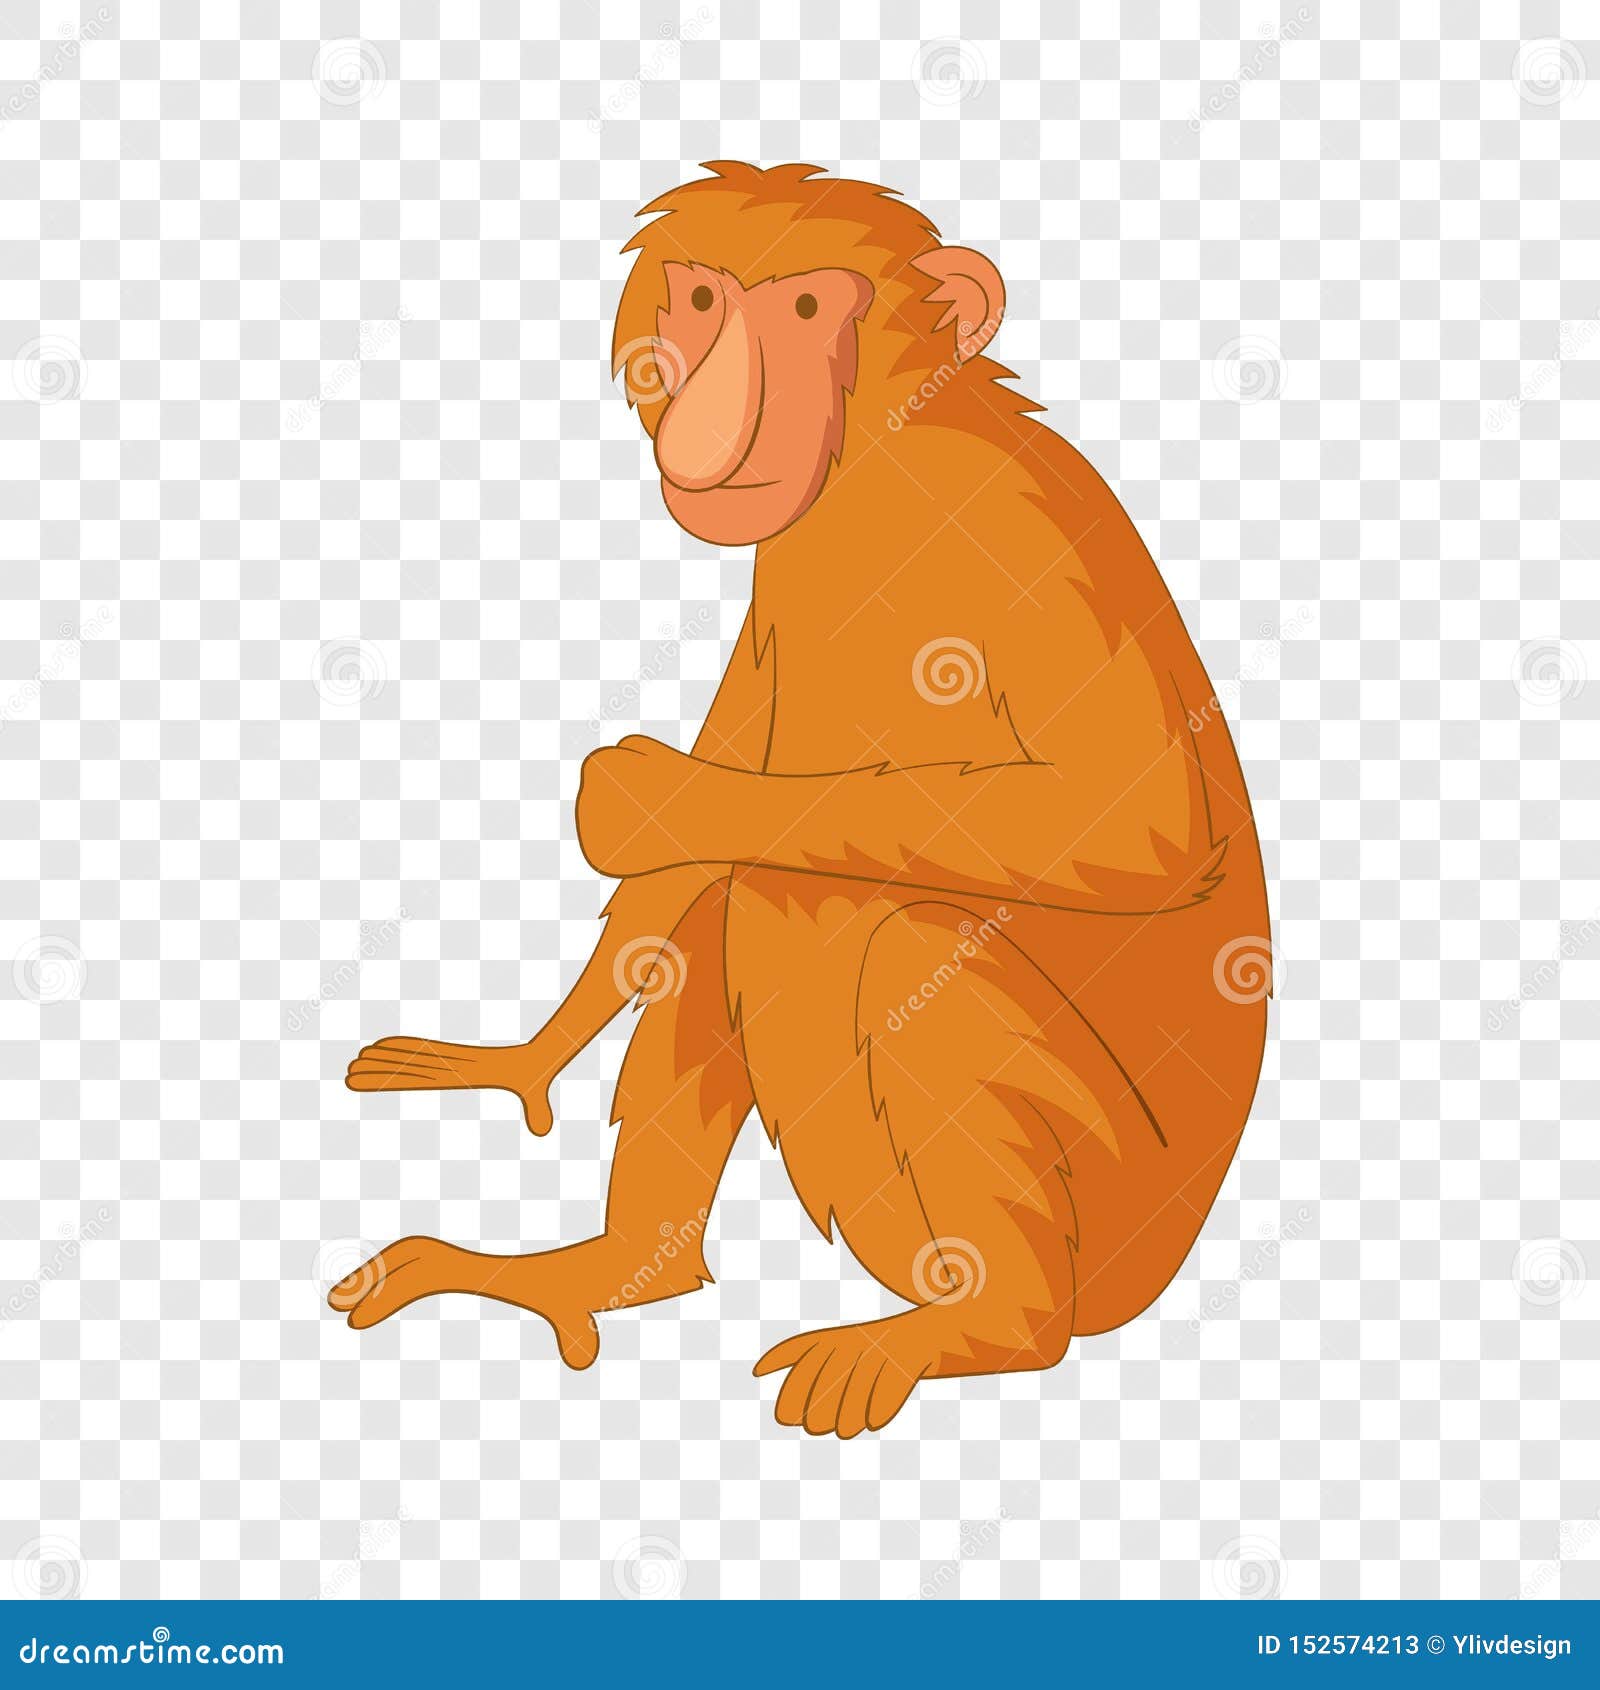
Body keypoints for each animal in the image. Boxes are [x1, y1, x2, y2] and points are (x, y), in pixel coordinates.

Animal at [333, 162, 1270, 1438]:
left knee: (882, 925)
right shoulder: (778, 569)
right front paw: (525, 1056)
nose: (719, 404)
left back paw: (977, 1323)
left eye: (811, 312)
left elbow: (1125, 818)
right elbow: (688, 868)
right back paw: (619, 1266)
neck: (874, 476)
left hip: (1119, 1229)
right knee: (734, 904)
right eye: (702, 299)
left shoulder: (1012, 524)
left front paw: (642, 794)